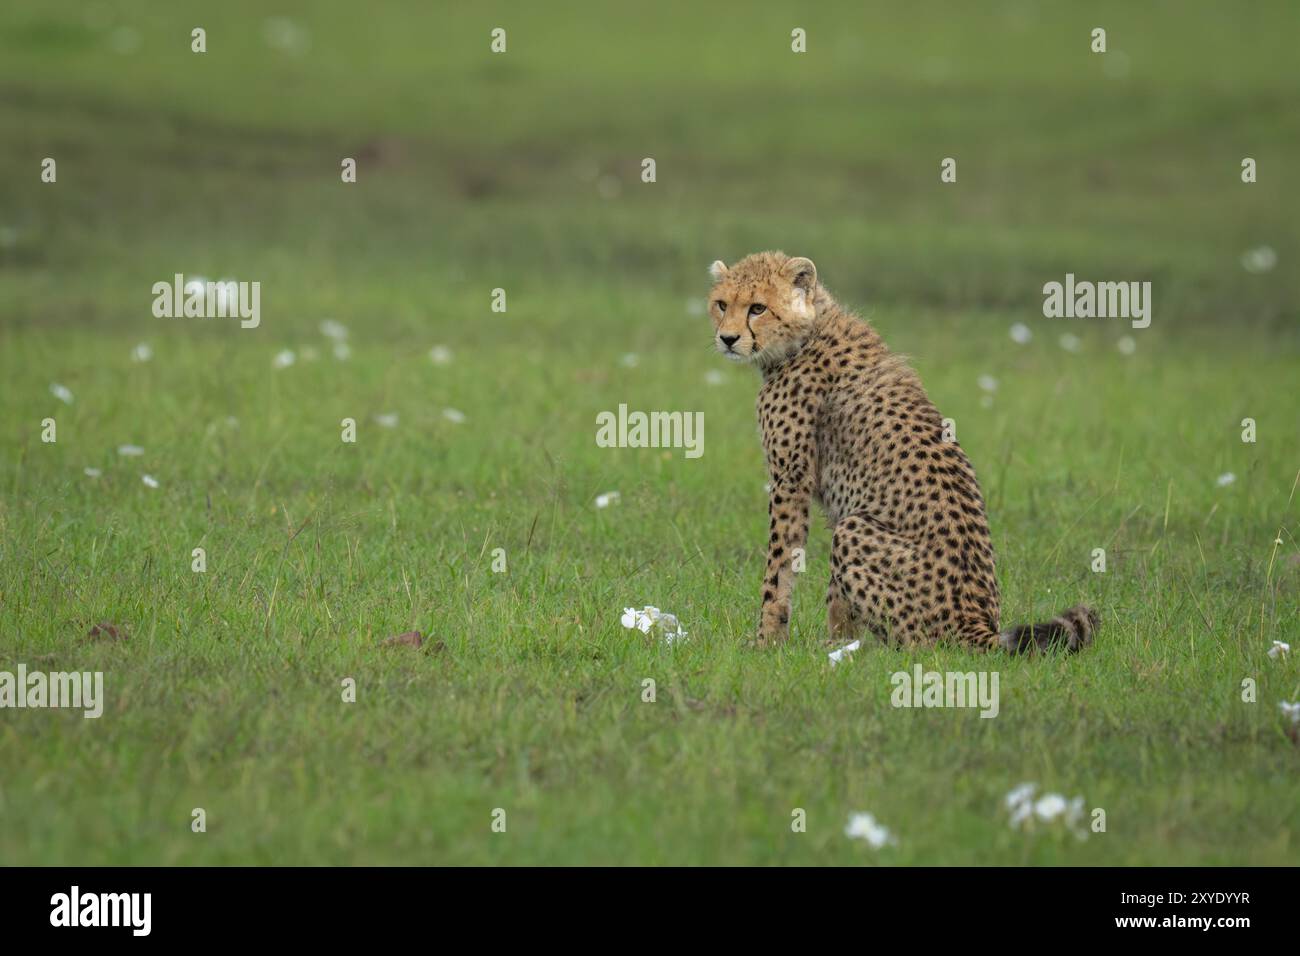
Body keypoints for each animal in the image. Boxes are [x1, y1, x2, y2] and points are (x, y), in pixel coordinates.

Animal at [706, 250, 1099, 654]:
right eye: (722, 305)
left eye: (757, 308)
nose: (728, 338)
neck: (808, 332)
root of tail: (978, 625)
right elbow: (835, 596)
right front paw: (836, 644)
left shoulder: (791, 481)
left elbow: (780, 566)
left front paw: (768, 640)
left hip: (855, 531)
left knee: (919, 645)